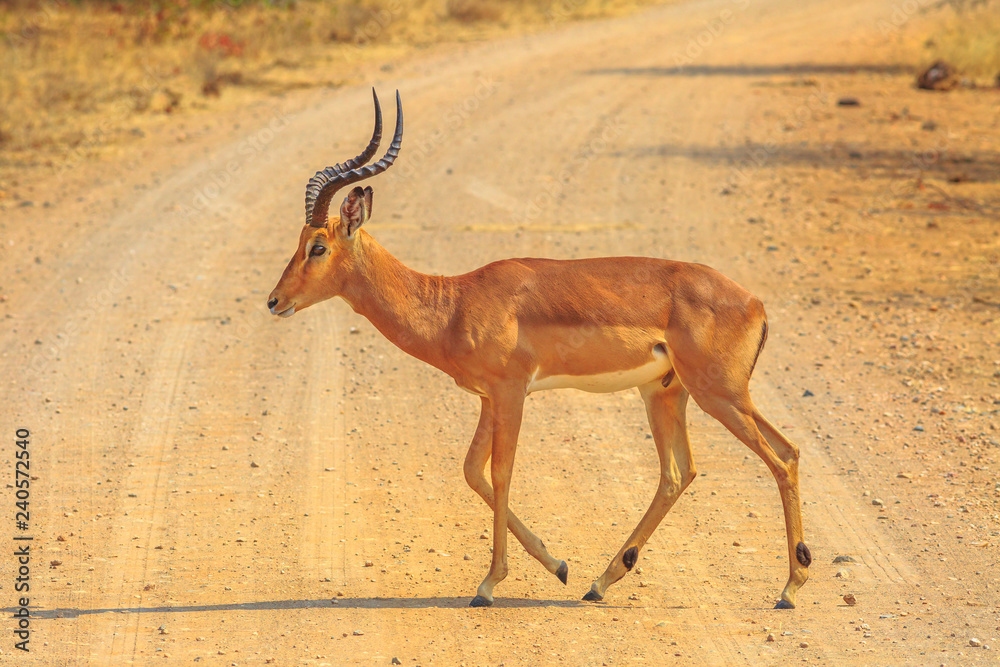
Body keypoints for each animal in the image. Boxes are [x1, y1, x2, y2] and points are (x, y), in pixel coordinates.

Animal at [267, 90, 811, 608]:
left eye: (318, 246)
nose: (274, 301)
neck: (454, 303)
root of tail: (754, 302)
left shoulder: (511, 392)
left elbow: (501, 473)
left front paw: (488, 584)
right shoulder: (488, 398)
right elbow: (472, 472)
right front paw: (559, 565)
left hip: (717, 394)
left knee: (778, 459)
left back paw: (788, 589)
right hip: (669, 393)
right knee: (691, 470)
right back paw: (600, 582)